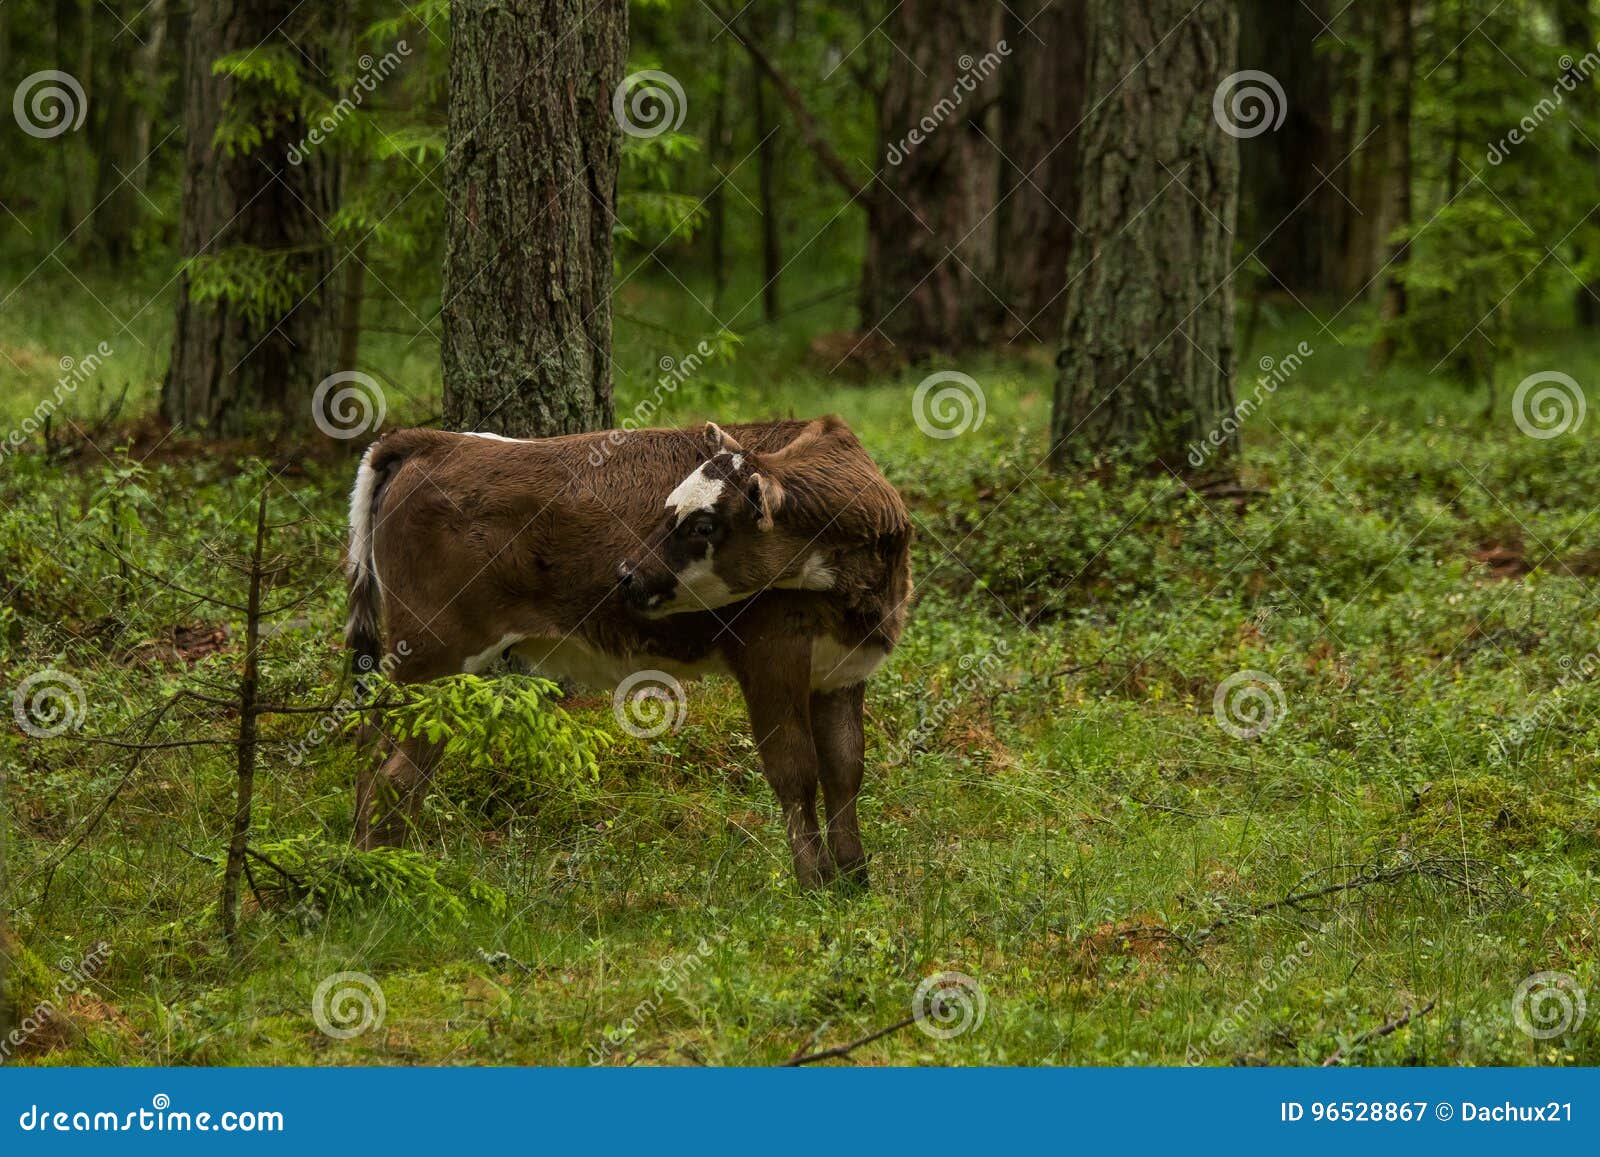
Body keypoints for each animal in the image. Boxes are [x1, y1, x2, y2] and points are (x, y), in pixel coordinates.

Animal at [344, 415, 912, 887]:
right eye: (668, 510)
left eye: (702, 525)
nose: (627, 575)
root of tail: (435, 440)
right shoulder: (770, 656)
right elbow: (795, 770)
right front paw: (814, 883)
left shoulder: (842, 670)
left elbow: (845, 768)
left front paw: (855, 881)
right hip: (437, 658)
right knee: (396, 774)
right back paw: (385, 875)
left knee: (372, 749)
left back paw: (361, 861)